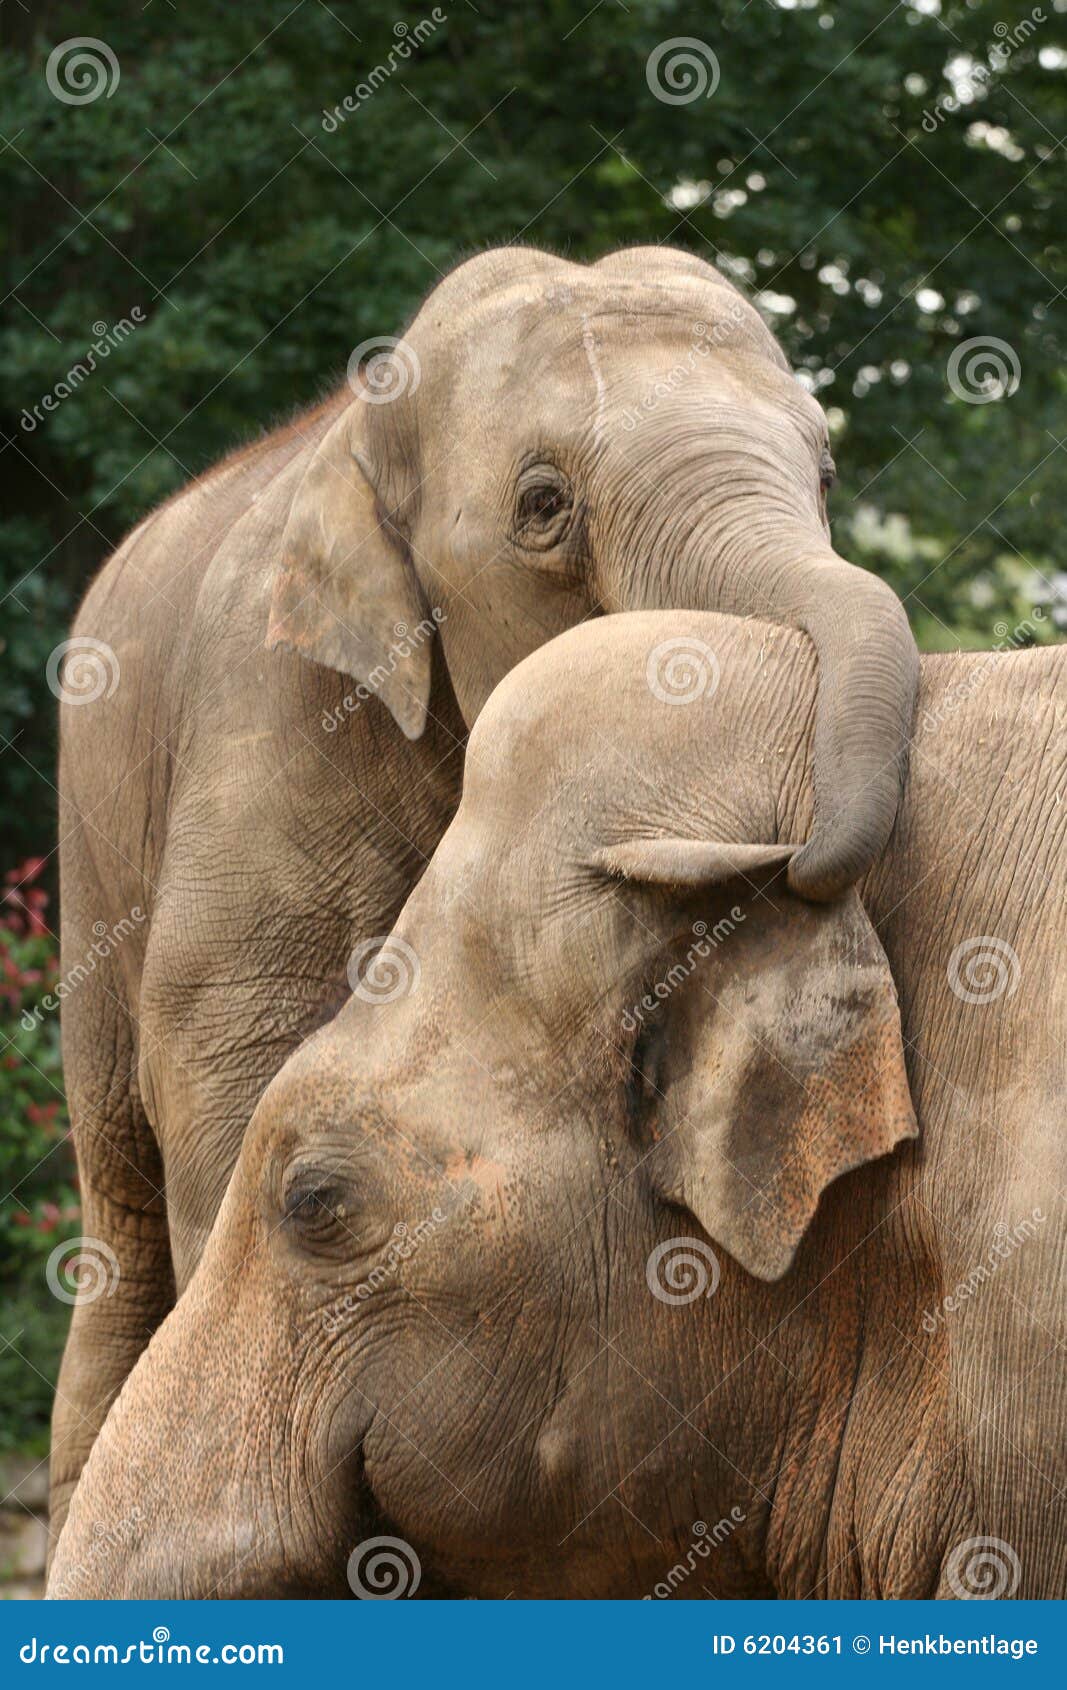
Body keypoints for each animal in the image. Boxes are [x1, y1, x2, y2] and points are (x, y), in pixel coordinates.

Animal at [50, 242, 917, 1544]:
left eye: (823, 473)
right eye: (542, 505)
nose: (797, 858)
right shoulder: (269, 730)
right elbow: (243, 1080)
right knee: (120, 1222)